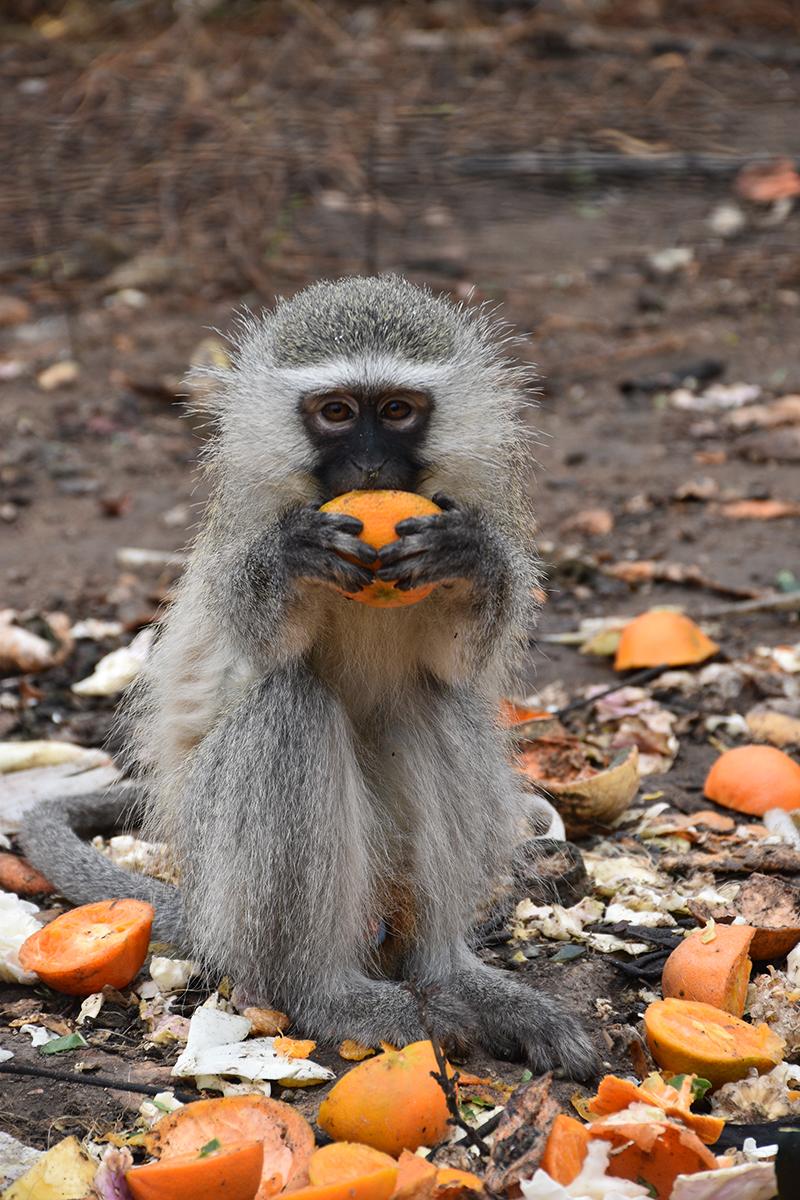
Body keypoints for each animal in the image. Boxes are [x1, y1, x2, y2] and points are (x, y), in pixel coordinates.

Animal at [21, 275, 597, 1078]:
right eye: (336, 413)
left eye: (396, 411)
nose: (370, 469)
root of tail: (206, 909)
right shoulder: (244, 522)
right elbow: (263, 645)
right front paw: (292, 556)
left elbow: (456, 659)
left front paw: (472, 557)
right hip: (226, 868)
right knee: (289, 708)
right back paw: (330, 995)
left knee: (432, 705)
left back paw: (453, 979)